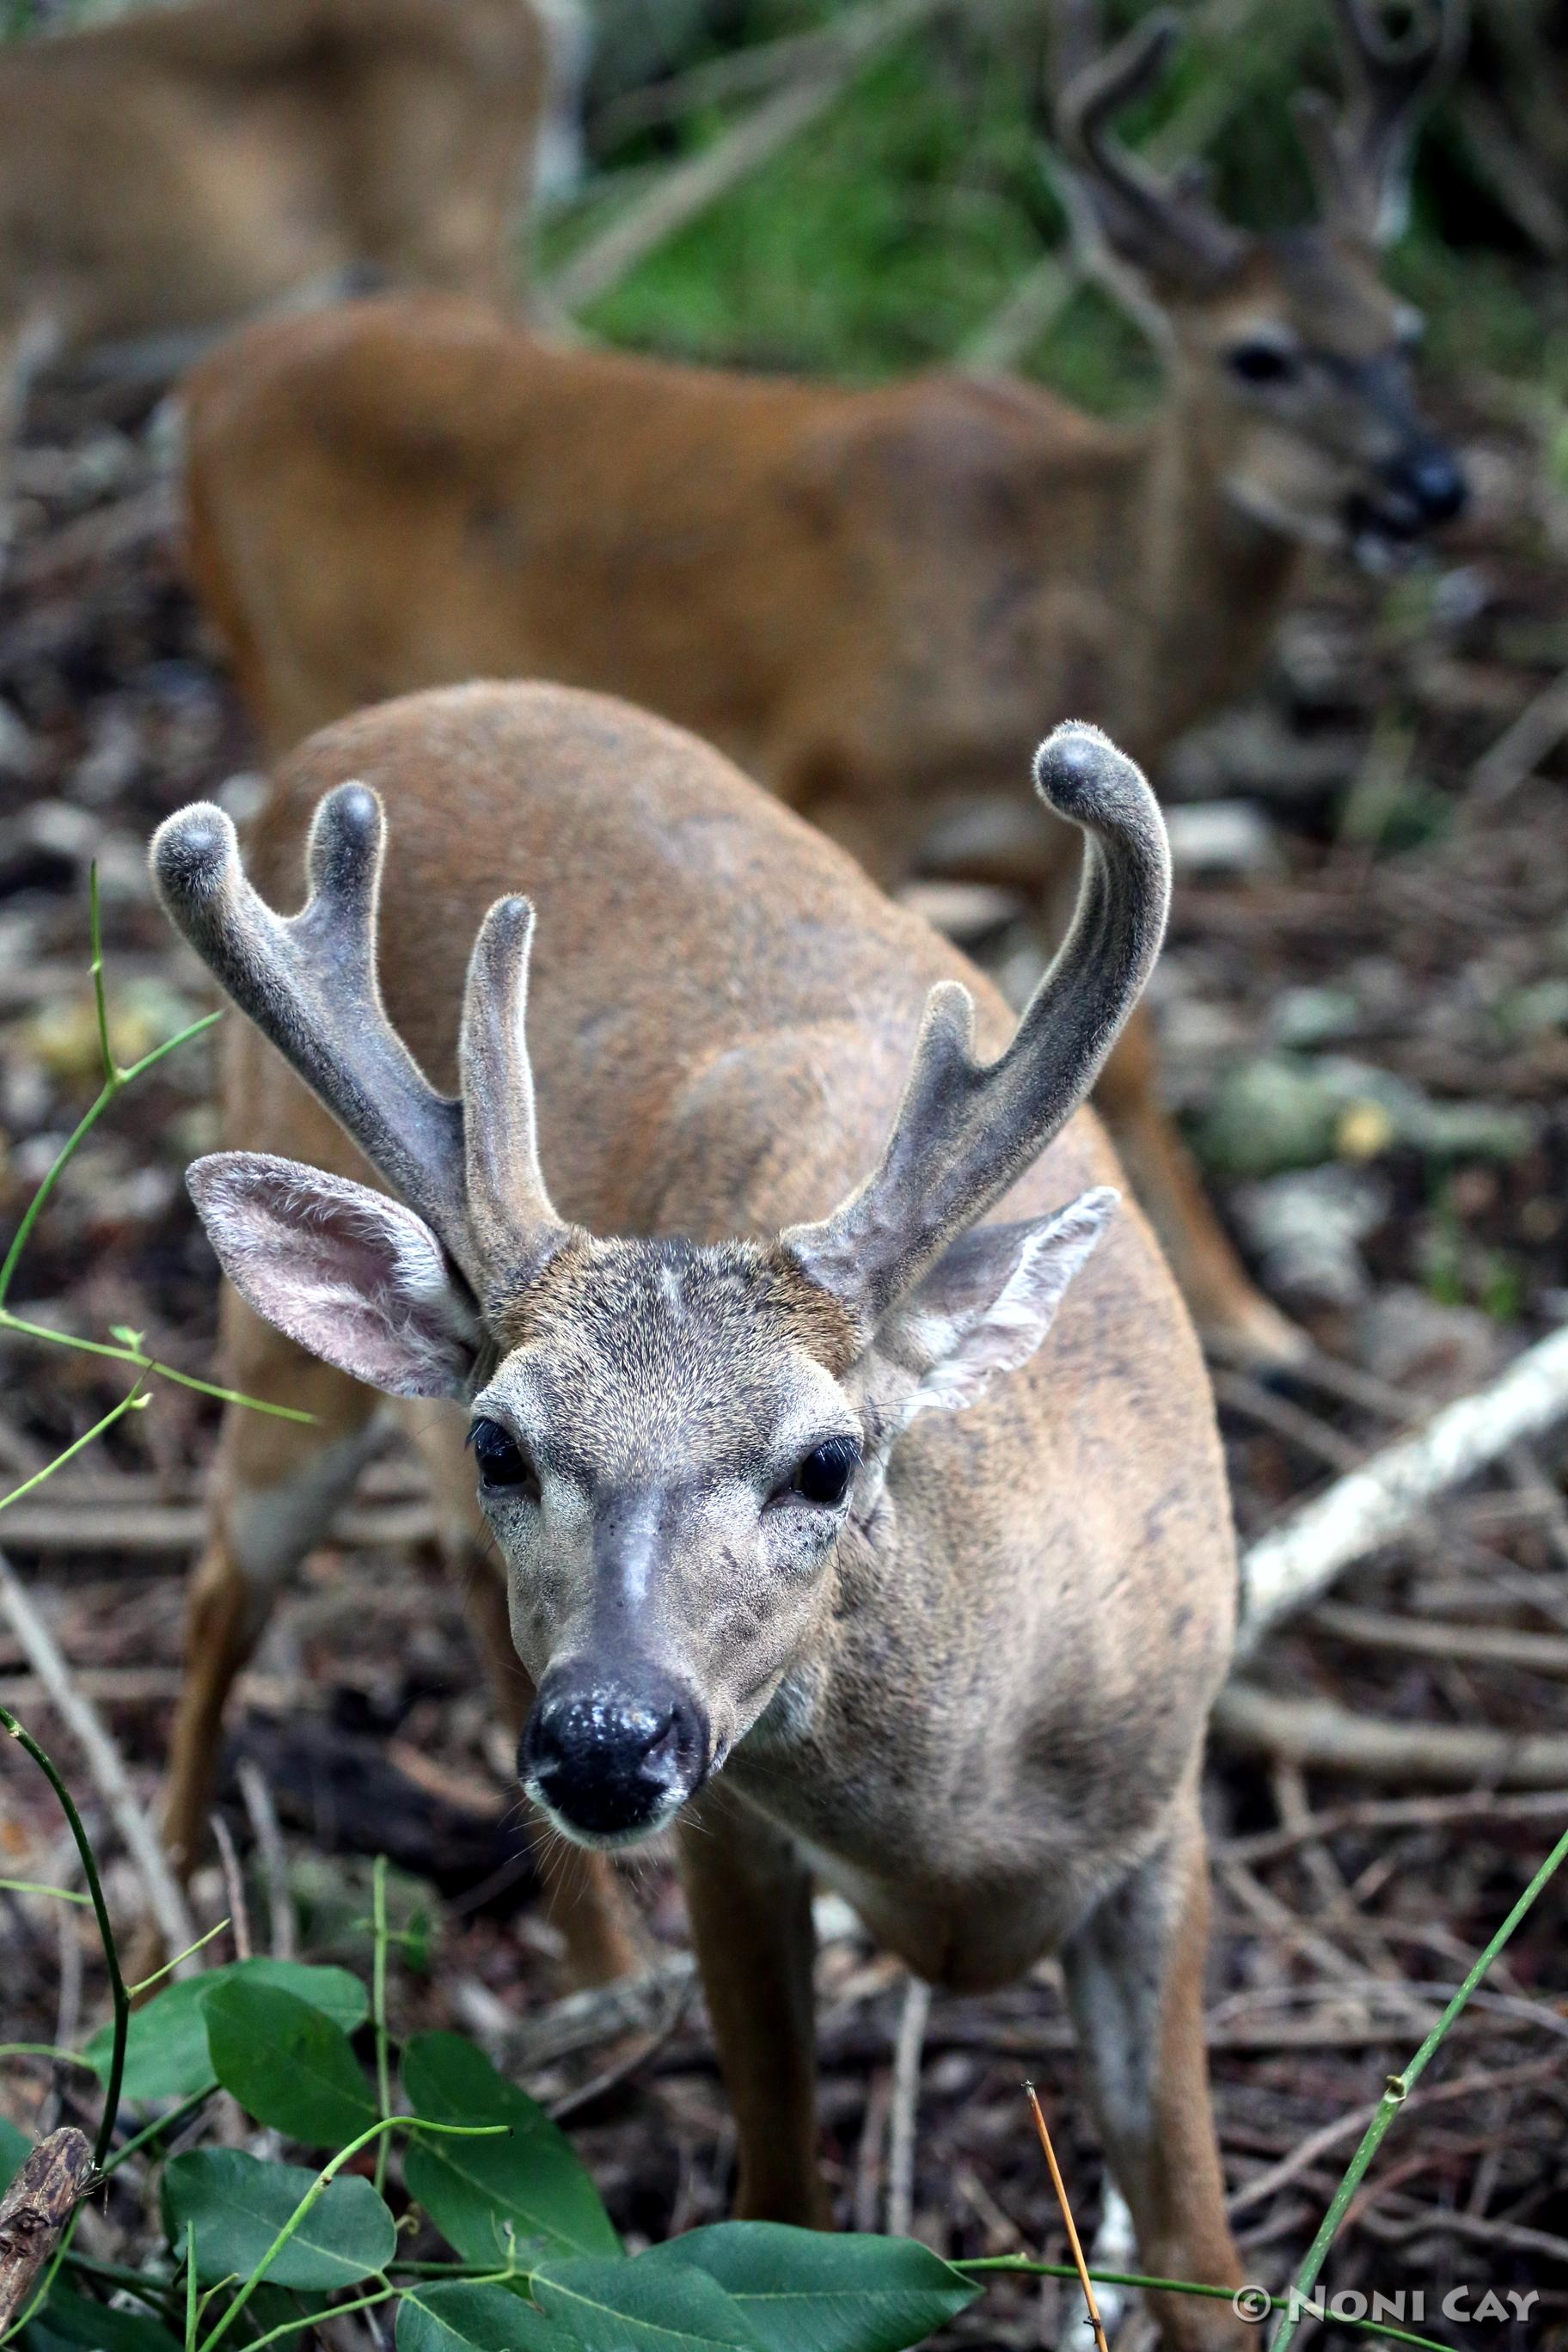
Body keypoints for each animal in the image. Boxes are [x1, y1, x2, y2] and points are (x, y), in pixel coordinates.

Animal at [150, 679, 1244, 2344]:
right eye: (505, 1436)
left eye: (830, 1461)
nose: (606, 1738)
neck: (961, 1838)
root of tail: (378, 718)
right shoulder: (733, 1829)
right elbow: (779, 2187)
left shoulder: (1164, 1816)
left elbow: (1199, 2256)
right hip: (288, 1385)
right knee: (224, 1587)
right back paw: (150, 1924)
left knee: (450, 1590)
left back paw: (600, 1977)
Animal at [175, 0, 1466, 1375]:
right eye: (1258, 354)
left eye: (1403, 333)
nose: (1433, 490)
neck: (1082, 591)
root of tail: (206, 382)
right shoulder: (844, 773)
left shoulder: (1032, 846)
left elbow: (1133, 1061)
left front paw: (1245, 1313)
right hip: (283, 661)